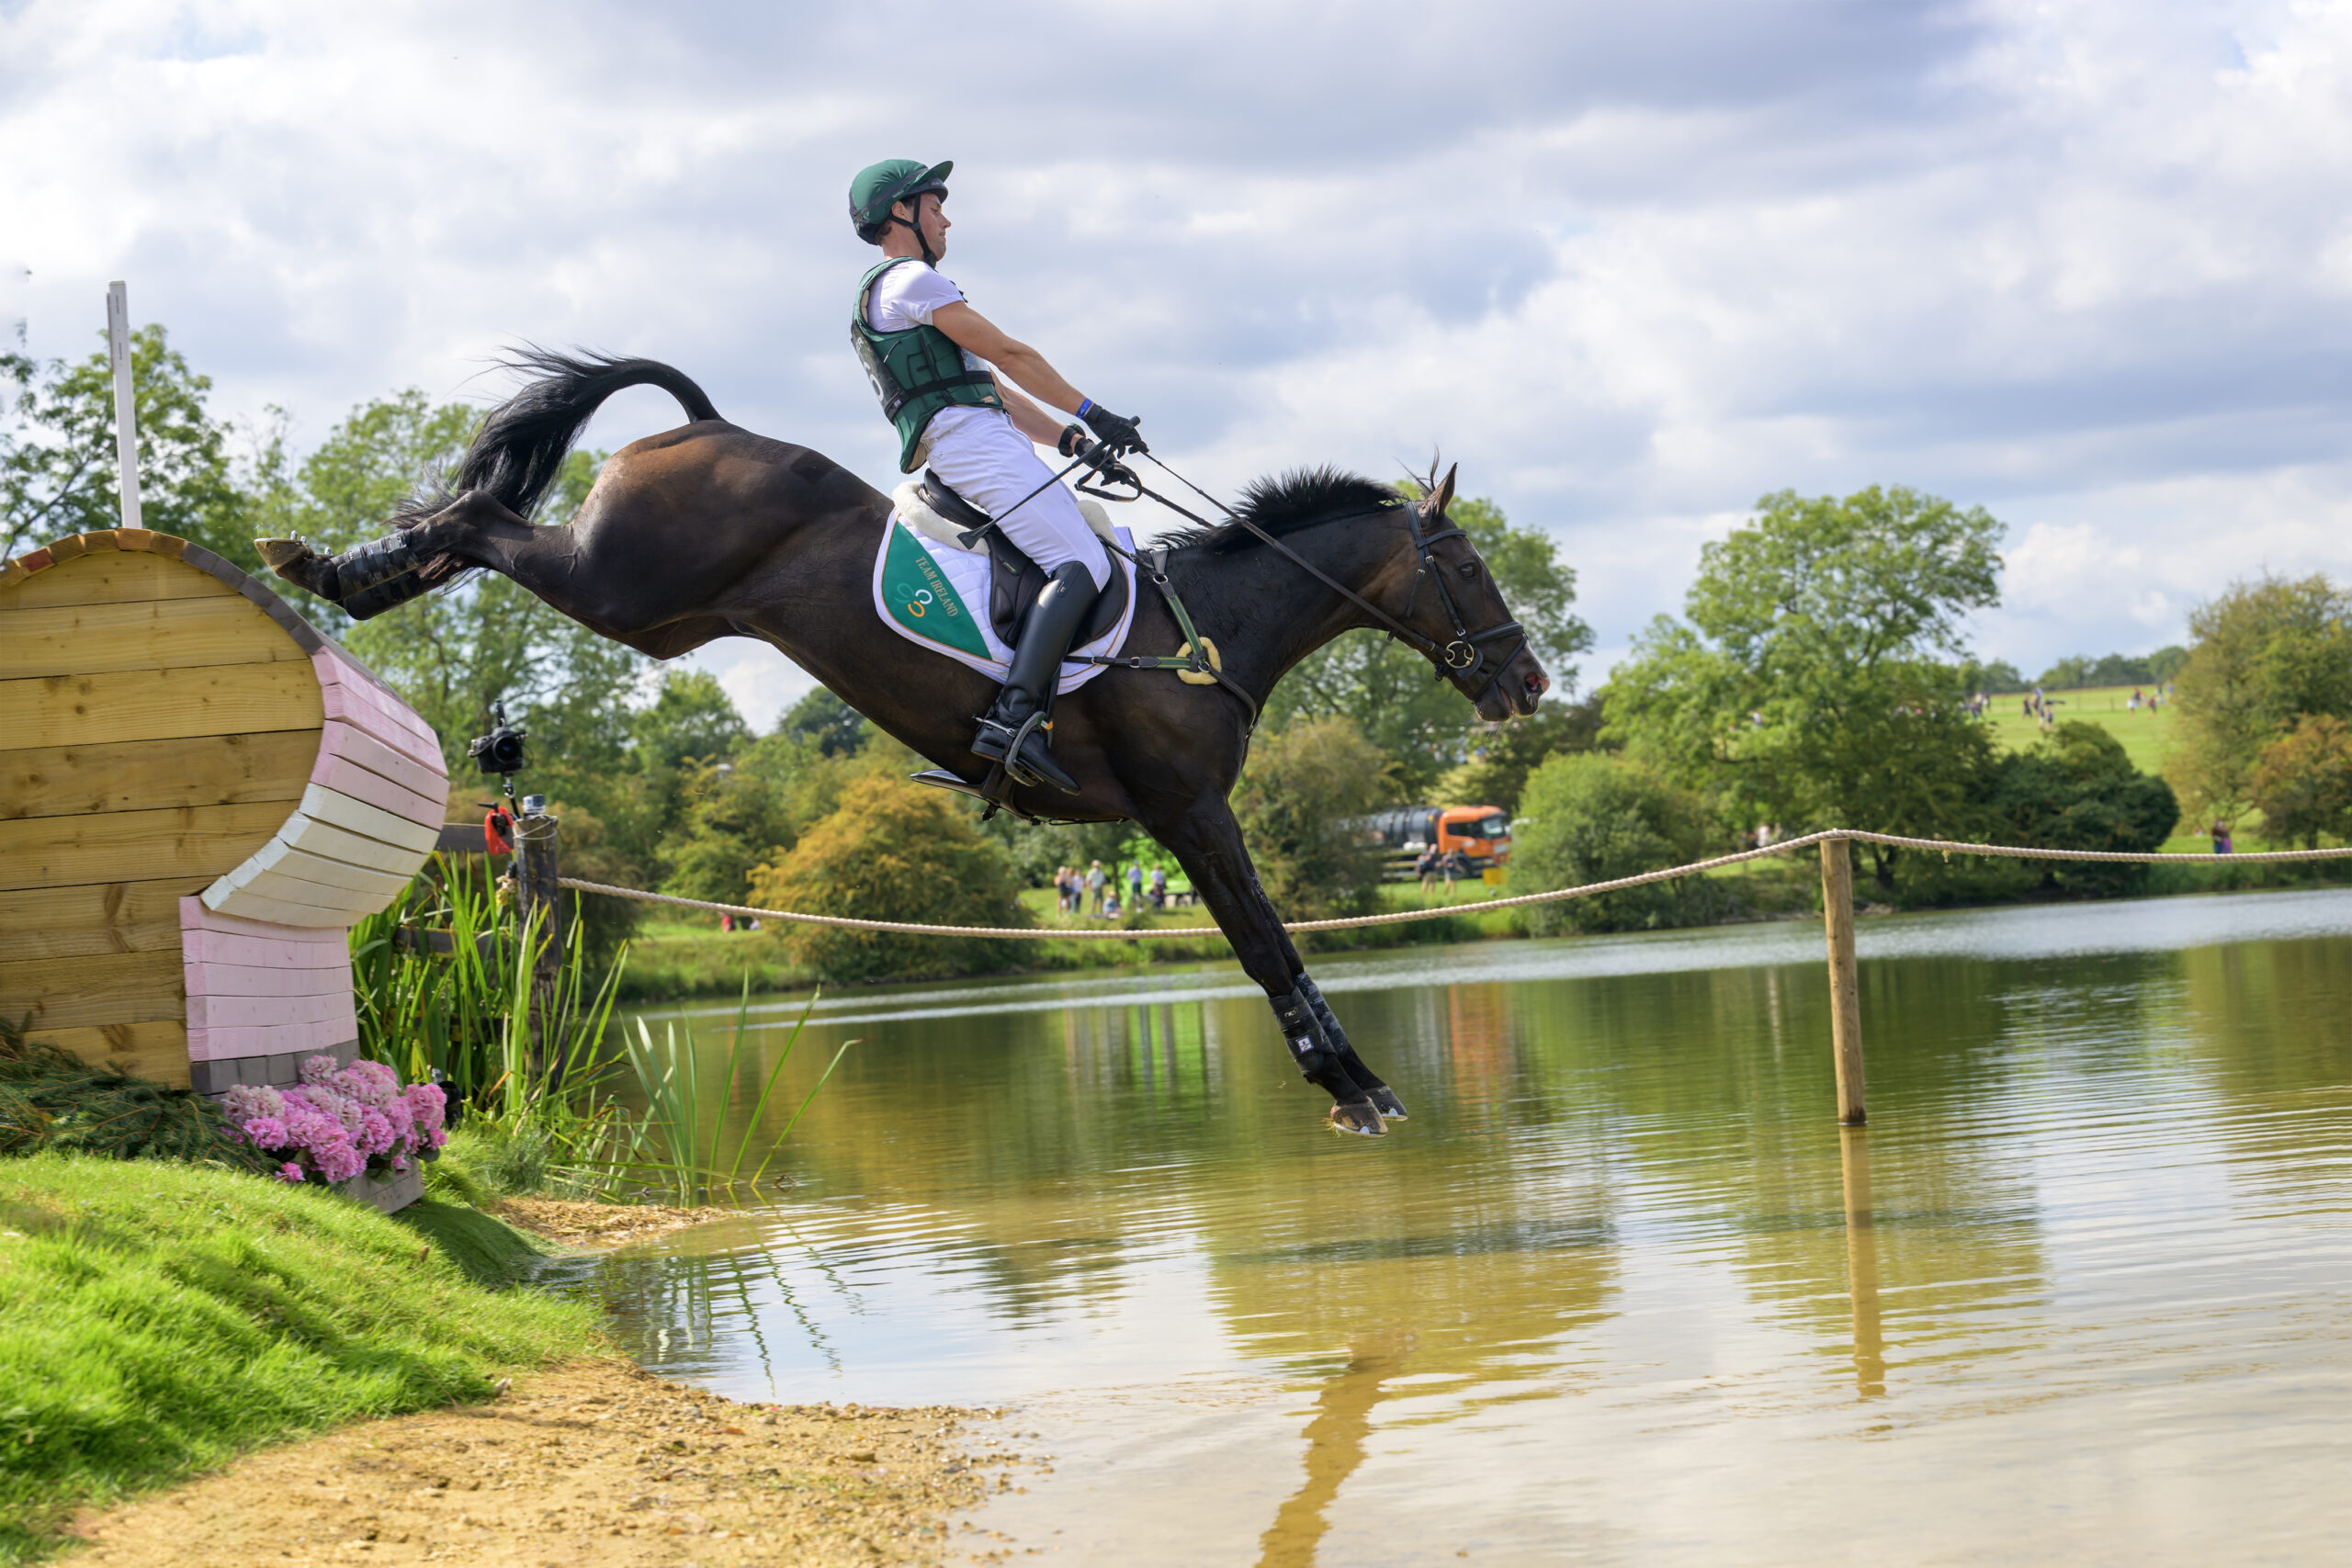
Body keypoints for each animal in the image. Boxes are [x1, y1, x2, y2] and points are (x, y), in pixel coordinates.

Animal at [260, 352, 1551, 1136]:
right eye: (1467, 565)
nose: (1528, 681)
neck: (1212, 628)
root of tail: (707, 425)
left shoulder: (1180, 820)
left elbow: (1265, 947)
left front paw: (1351, 1082)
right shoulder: (1187, 813)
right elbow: (1267, 946)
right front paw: (1354, 1086)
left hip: (658, 619)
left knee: (473, 534)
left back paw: (348, 576)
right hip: (620, 587)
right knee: (483, 520)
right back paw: (333, 569)